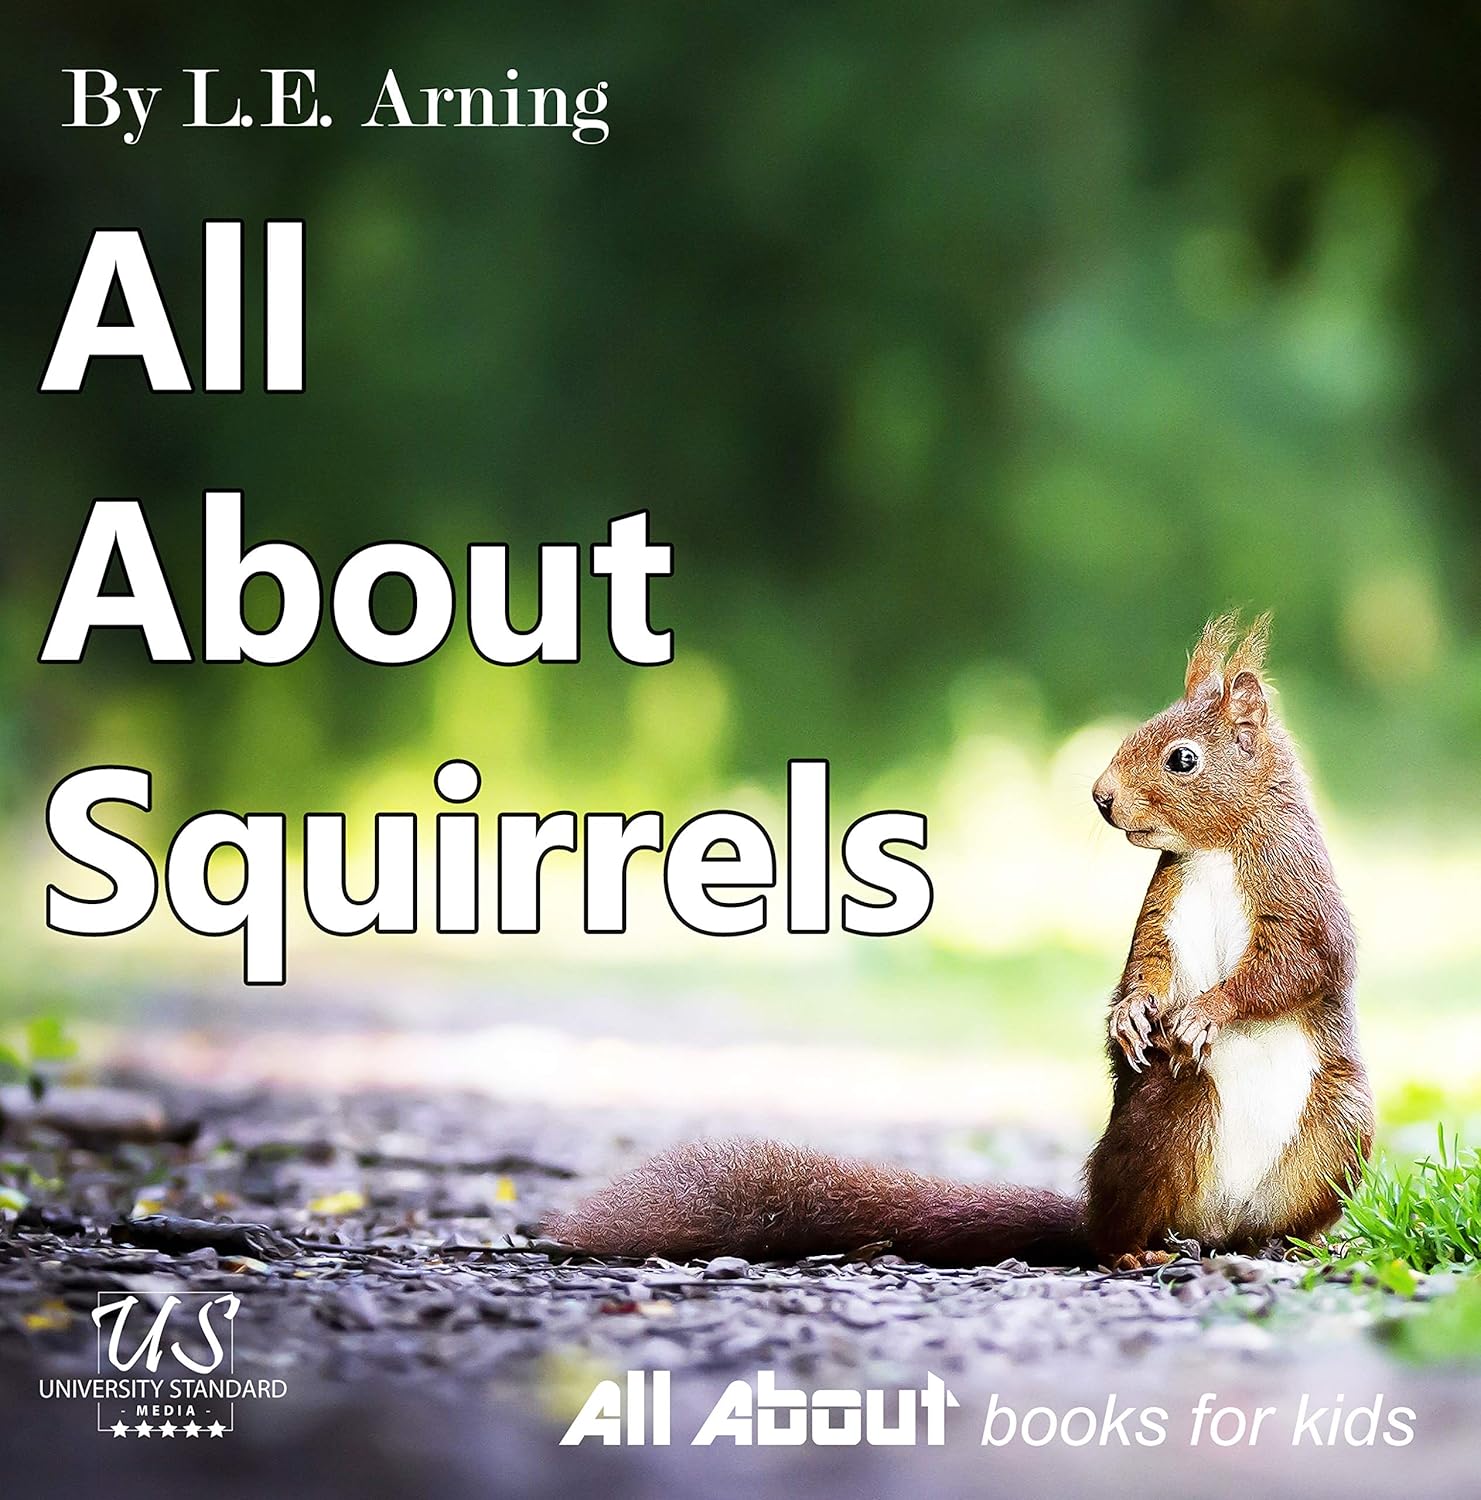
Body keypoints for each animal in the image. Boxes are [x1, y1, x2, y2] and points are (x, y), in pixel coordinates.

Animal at [546, 614, 1374, 1269]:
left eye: (1181, 758)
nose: (1100, 797)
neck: (1215, 849)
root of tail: (1214, 1223)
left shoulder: (1296, 891)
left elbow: (1296, 964)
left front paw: (1204, 1012)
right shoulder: (1161, 905)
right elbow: (1146, 965)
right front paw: (1130, 1016)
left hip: (1337, 1129)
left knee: (1278, 1215)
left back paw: (1287, 1243)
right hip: (1169, 1117)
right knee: (1121, 1223)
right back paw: (1133, 1250)